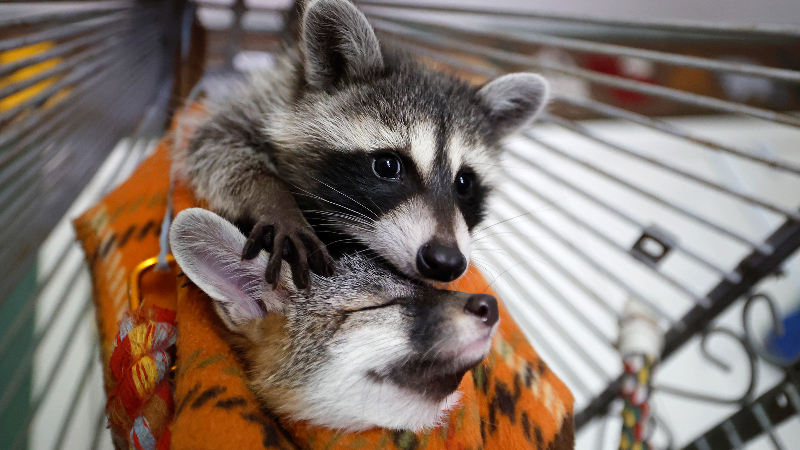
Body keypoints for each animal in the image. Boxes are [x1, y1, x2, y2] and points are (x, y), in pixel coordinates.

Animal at [175, 0, 549, 290]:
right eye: (387, 165)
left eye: (464, 182)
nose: (445, 261)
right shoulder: (263, 101)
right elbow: (214, 144)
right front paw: (273, 199)